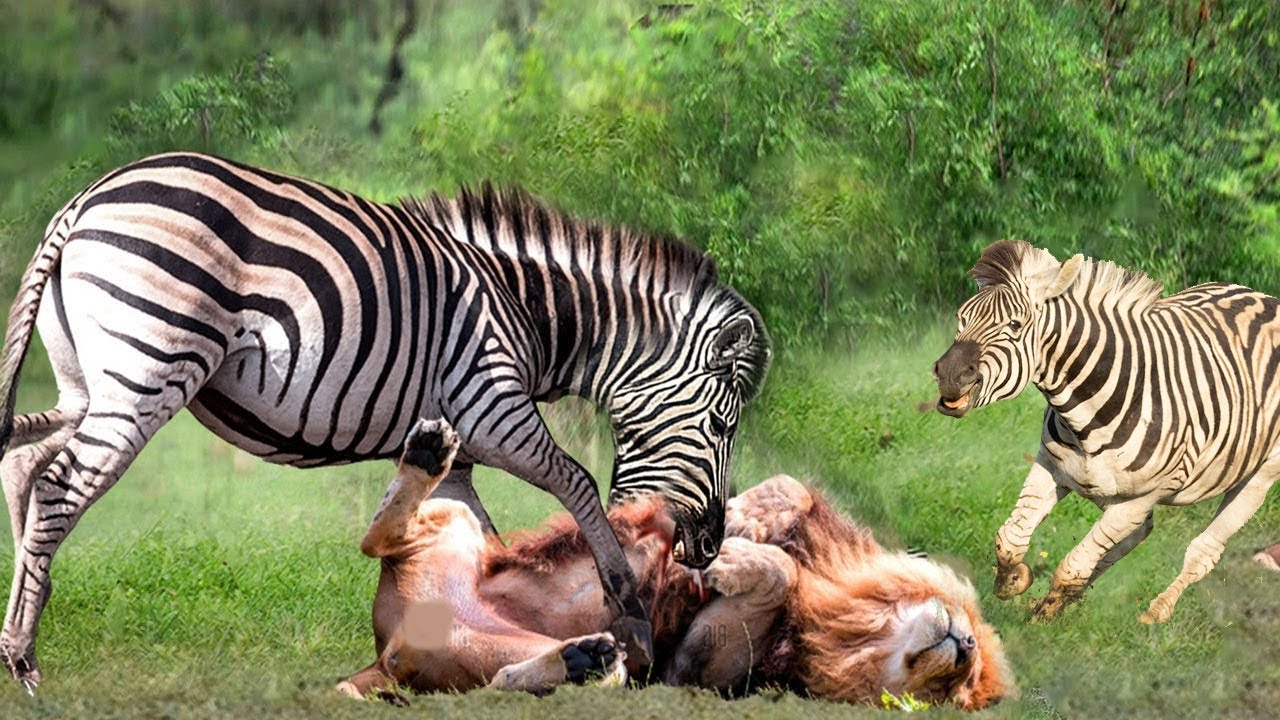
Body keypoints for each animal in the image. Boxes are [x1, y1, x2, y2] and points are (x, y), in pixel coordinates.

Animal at [0, 152, 771, 688]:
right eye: (722, 427)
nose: (709, 547)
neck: (528, 310)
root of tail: (85, 201)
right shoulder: (491, 407)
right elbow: (577, 482)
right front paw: (629, 616)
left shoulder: (455, 447)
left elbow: (479, 533)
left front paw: (500, 618)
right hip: (148, 366)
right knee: (59, 486)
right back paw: (24, 657)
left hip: (86, 384)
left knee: (23, 464)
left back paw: (19, 625)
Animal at [338, 419, 1013, 709]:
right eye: (966, 670)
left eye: (956, 692)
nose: (964, 650)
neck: (839, 621)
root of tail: (388, 649)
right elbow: (788, 493)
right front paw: (741, 525)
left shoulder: (691, 670)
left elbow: (780, 574)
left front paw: (729, 561)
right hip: (457, 526)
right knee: (379, 539)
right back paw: (427, 454)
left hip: (505, 651)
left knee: (499, 683)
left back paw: (580, 662)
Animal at [932, 239, 1279, 623]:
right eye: (962, 317)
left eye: (1015, 324)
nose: (948, 374)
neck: (1086, 413)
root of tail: (1266, 298)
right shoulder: (1050, 466)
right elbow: (1011, 538)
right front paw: (1014, 582)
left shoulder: (1139, 499)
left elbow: (1072, 566)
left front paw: (1043, 616)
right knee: (1137, 534)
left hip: (1257, 477)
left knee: (1203, 551)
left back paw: (1154, 616)